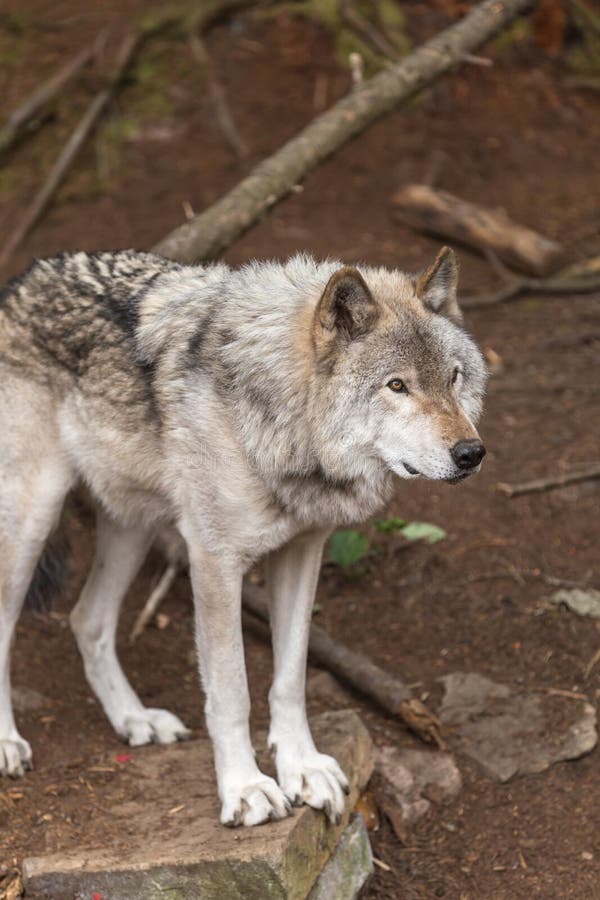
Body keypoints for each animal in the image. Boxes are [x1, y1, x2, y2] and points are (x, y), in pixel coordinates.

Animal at [0, 246, 486, 826]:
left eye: (454, 378)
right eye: (397, 386)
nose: (471, 453)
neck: (277, 419)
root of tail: (23, 278)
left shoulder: (303, 551)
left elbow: (290, 679)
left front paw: (302, 769)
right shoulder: (214, 560)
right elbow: (232, 692)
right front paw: (246, 787)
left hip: (132, 525)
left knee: (87, 620)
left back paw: (136, 720)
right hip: (33, 517)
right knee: (10, 626)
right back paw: (8, 743)